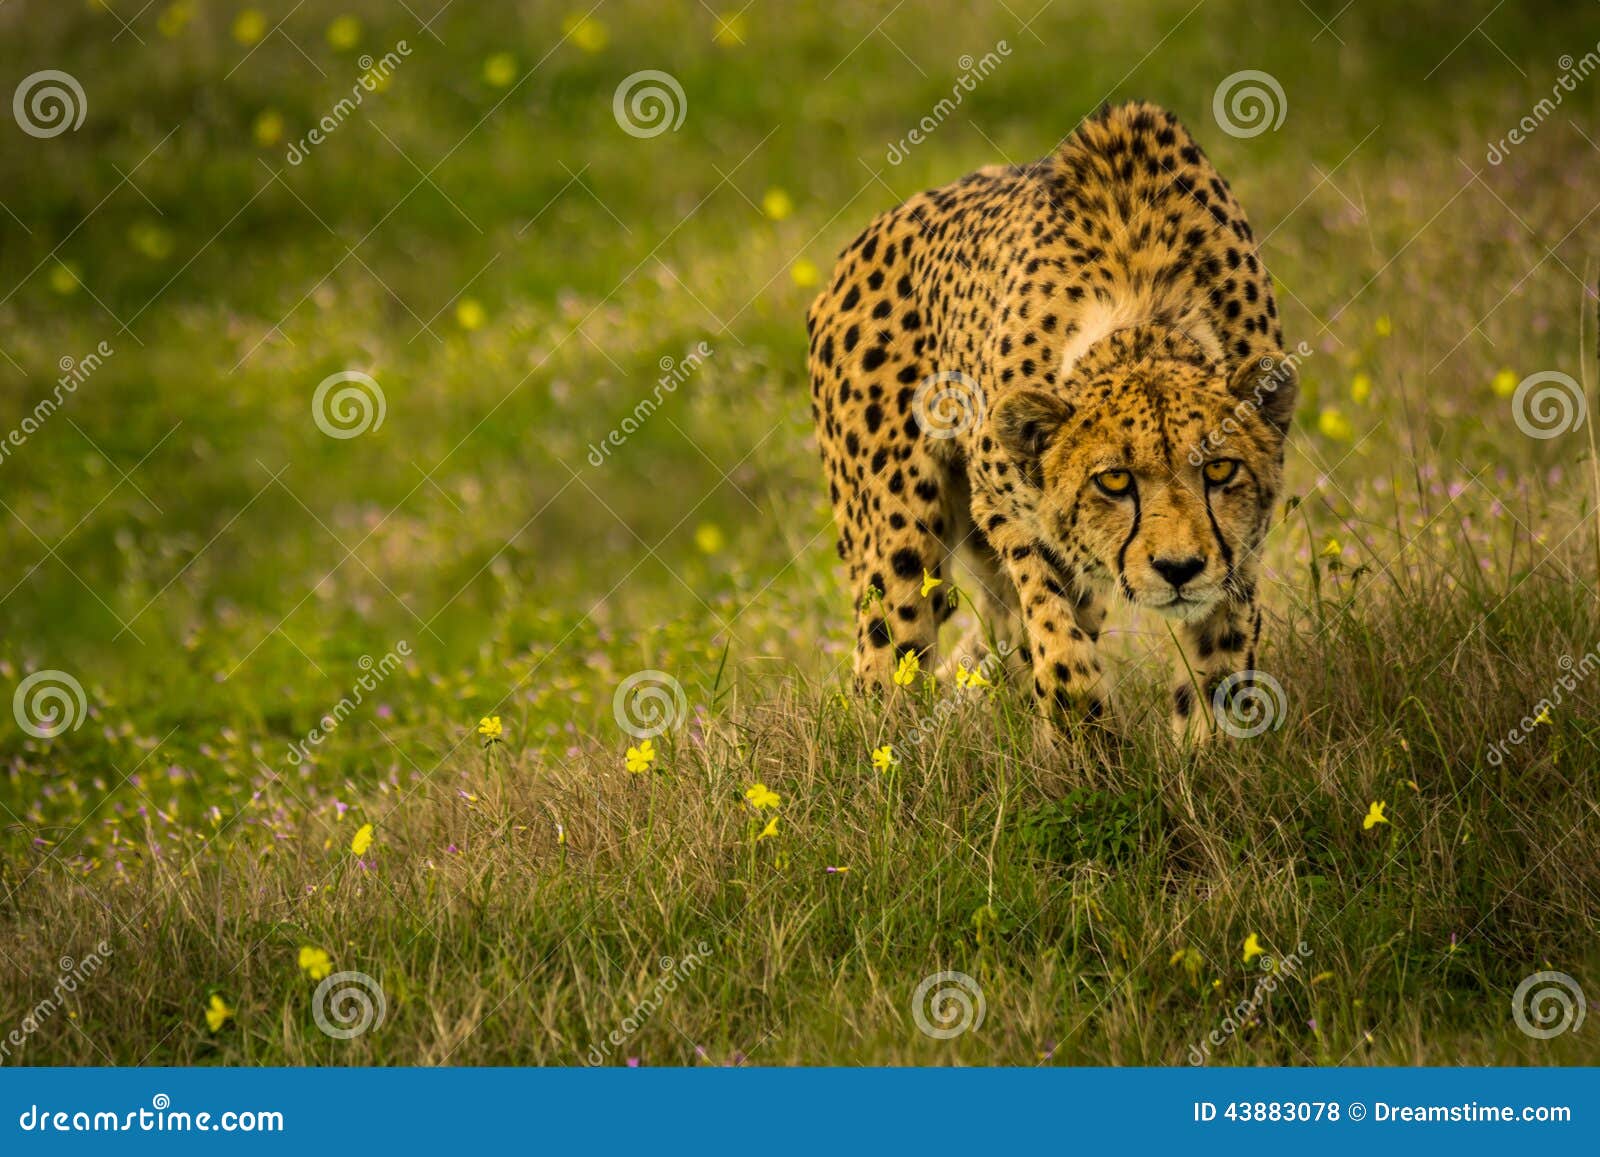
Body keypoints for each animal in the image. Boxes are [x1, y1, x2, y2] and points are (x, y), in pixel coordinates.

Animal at [805, 101, 1298, 740]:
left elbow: (1221, 655)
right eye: (1114, 480)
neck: (1143, 317)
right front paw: (1081, 722)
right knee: (888, 654)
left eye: (1219, 470)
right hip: (898, 540)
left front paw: (1208, 748)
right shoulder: (1006, 505)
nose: (1178, 569)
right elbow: (1050, 621)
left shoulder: (1241, 545)